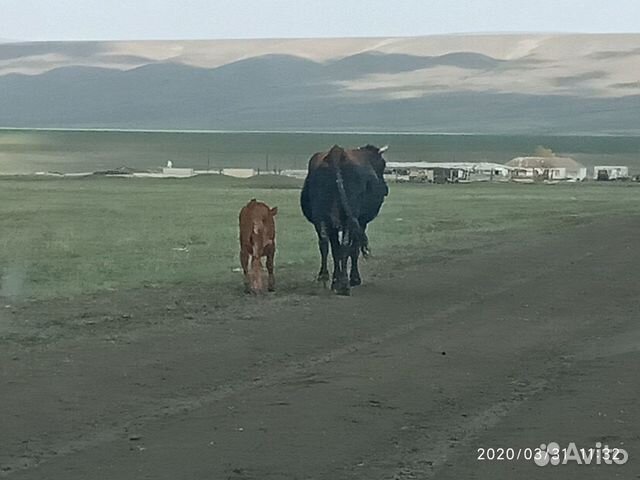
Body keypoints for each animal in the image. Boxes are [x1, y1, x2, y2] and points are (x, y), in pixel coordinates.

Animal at [300, 144, 389, 295]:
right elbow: (353, 249)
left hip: (320, 215)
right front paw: (353, 279)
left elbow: (336, 249)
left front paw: (336, 280)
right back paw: (344, 285)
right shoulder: (361, 222)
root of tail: (337, 152)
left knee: (324, 243)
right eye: (383, 164)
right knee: (346, 245)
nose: (386, 189)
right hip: (349, 218)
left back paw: (325, 277)